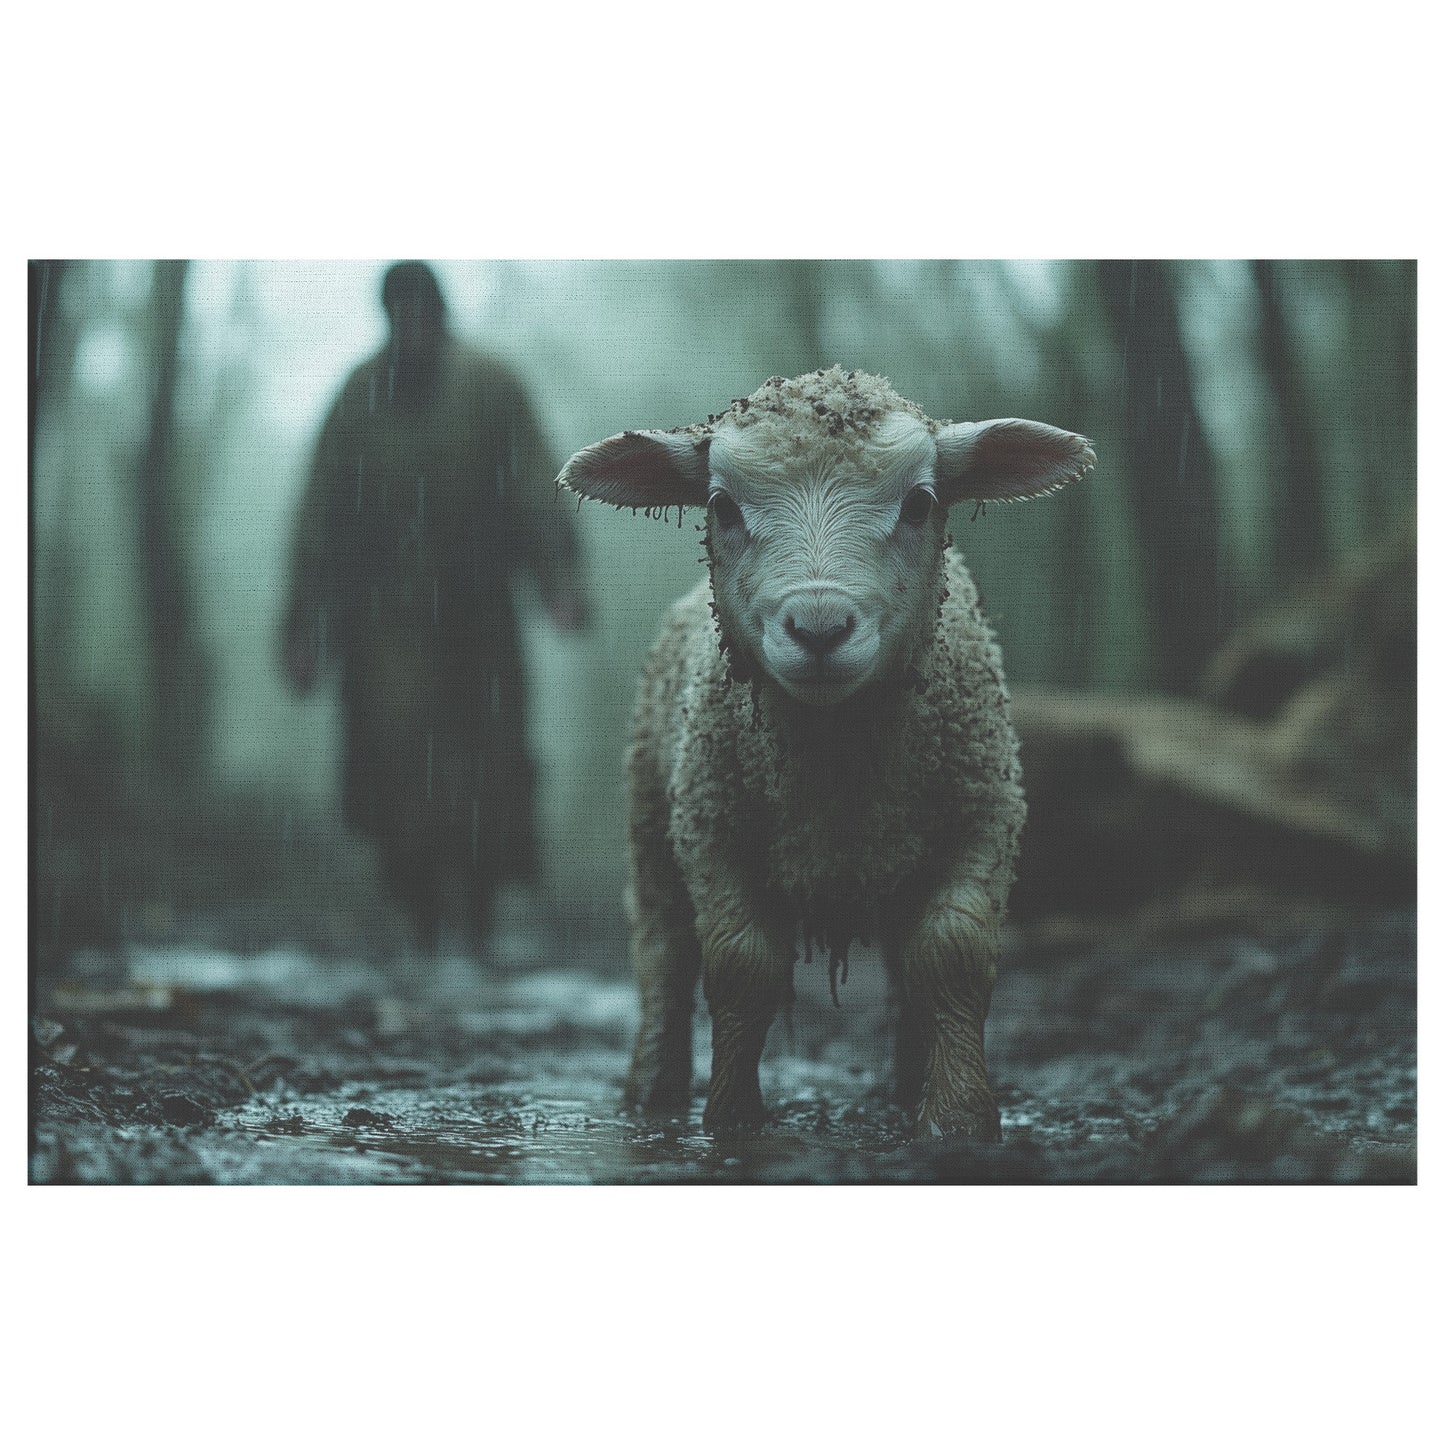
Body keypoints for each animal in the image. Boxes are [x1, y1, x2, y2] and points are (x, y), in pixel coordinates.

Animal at [559, 367, 1094, 1139]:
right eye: (721, 506)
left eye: (920, 502)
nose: (818, 628)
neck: (837, 762)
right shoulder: (714, 832)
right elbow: (740, 968)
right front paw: (730, 1119)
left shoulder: (981, 821)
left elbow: (950, 957)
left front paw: (957, 1116)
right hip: (651, 829)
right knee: (662, 954)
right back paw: (652, 1089)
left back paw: (908, 1081)